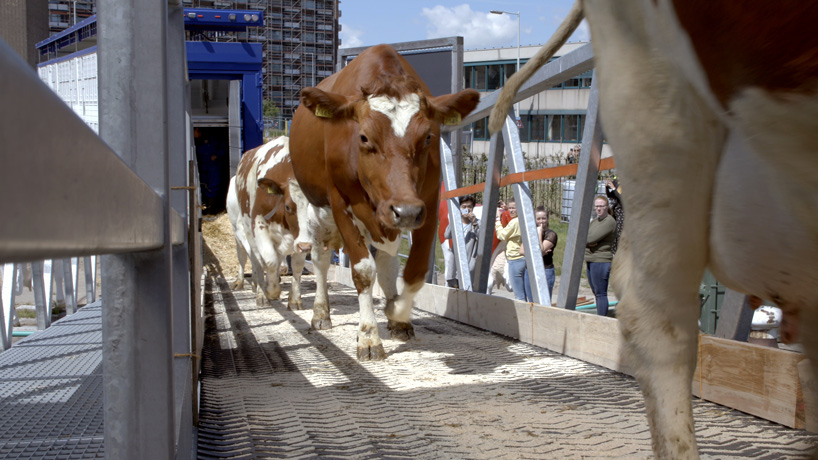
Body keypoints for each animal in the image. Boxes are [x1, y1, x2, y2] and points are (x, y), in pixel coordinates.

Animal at [226, 136, 308, 310]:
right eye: (288, 206)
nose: (305, 246)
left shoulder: (302, 237)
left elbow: (296, 266)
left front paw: (295, 299)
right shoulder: (258, 225)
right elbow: (269, 261)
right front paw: (271, 291)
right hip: (240, 231)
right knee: (249, 257)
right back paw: (248, 285)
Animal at [289, 44, 480, 361]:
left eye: (428, 137)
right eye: (364, 137)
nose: (405, 211)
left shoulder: (427, 204)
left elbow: (413, 272)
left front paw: (397, 312)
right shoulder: (341, 205)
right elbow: (363, 271)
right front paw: (368, 336)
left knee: (388, 265)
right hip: (315, 213)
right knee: (320, 261)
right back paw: (321, 313)